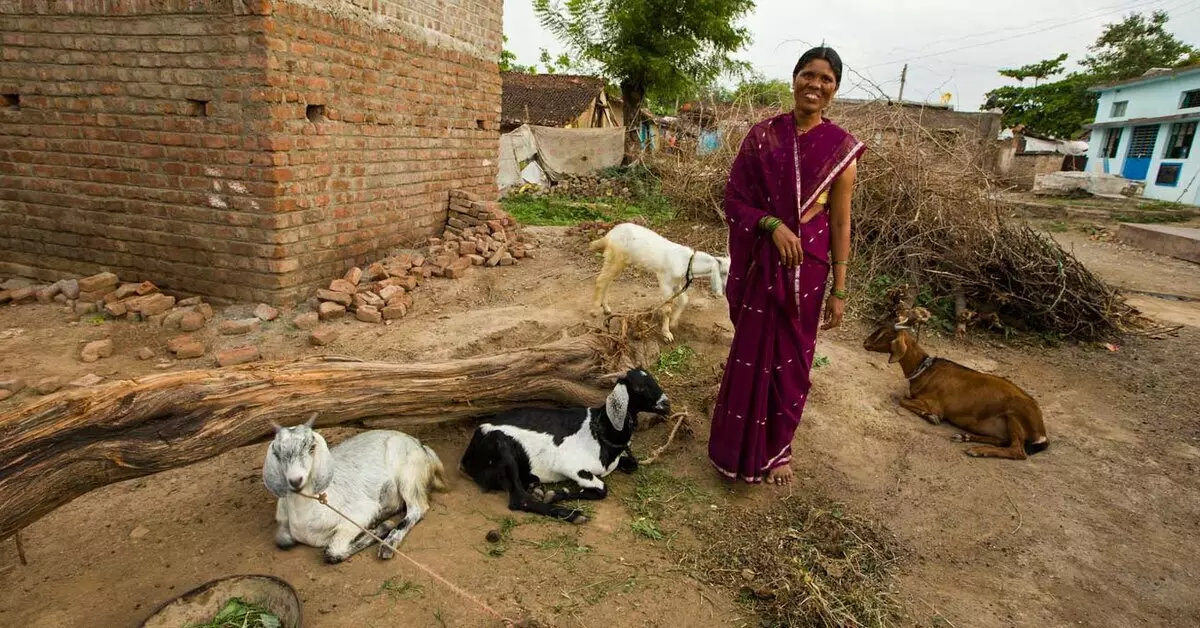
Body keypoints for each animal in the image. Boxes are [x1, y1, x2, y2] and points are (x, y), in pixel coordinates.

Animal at [261, 413, 446, 564]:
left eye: (312, 447)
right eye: (276, 453)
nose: (295, 480)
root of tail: (421, 446)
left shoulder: (360, 512)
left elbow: (332, 551)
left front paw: (382, 528)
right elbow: (282, 540)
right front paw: (376, 526)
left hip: (408, 474)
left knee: (417, 508)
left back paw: (388, 544)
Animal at [458, 372, 672, 523]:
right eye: (639, 387)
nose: (666, 405)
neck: (599, 430)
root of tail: (468, 456)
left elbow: (632, 465)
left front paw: (557, 493)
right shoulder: (570, 466)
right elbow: (603, 488)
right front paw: (556, 495)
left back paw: (536, 488)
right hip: (502, 448)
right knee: (520, 500)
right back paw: (572, 515)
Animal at [590, 222, 729, 341]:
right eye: (726, 272)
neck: (685, 261)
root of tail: (609, 235)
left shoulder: (677, 283)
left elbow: (684, 299)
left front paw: (673, 322)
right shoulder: (665, 281)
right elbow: (667, 308)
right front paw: (667, 334)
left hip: (619, 261)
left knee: (608, 281)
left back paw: (606, 308)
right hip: (616, 257)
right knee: (601, 280)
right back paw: (594, 311)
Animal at [864, 309, 1051, 461]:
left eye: (885, 333)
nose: (865, 342)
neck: (926, 370)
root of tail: (1041, 430)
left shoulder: (934, 404)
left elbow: (903, 400)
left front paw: (930, 416)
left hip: (1014, 416)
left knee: (1018, 451)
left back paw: (977, 450)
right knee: (1001, 440)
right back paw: (964, 437)